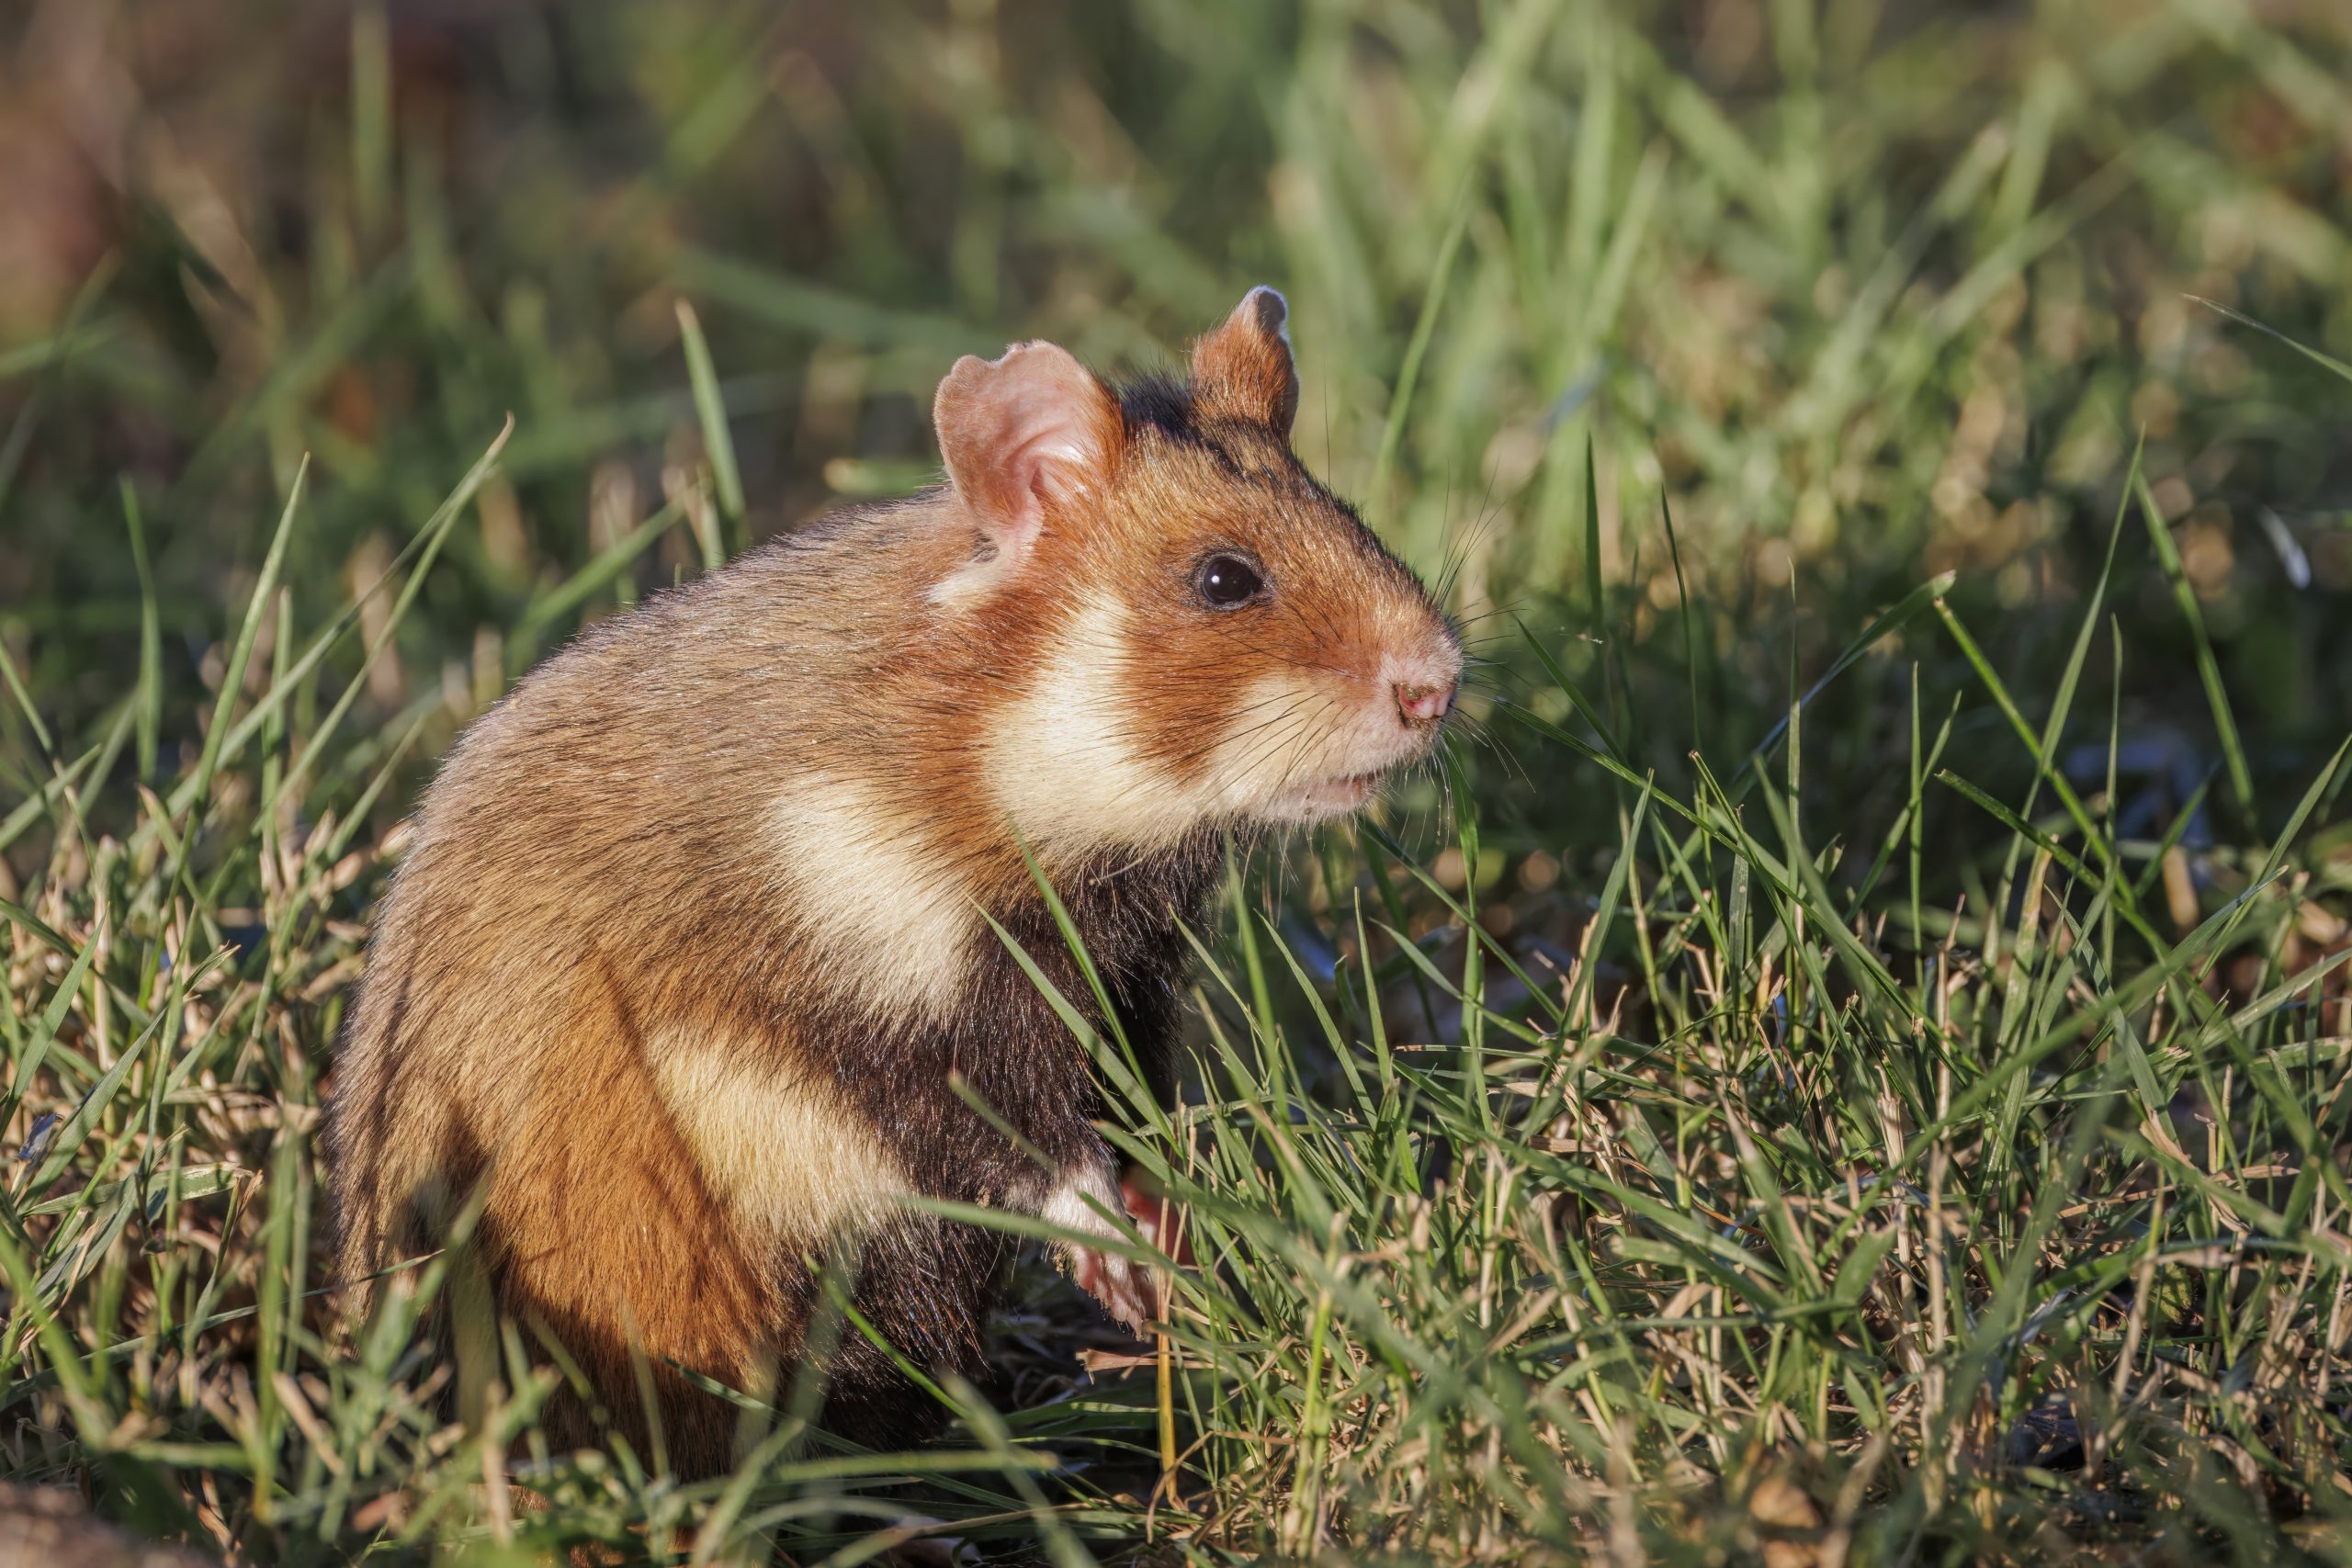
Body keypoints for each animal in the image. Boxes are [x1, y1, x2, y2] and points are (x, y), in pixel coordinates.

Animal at [325, 287, 1462, 1473]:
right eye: (1224, 579)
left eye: (1349, 515)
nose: (1438, 686)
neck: (993, 754)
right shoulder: (883, 1016)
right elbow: (1029, 1146)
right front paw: (1124, 1270)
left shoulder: (1125, 982)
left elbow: (1129, 1117)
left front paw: (1176, 1245)